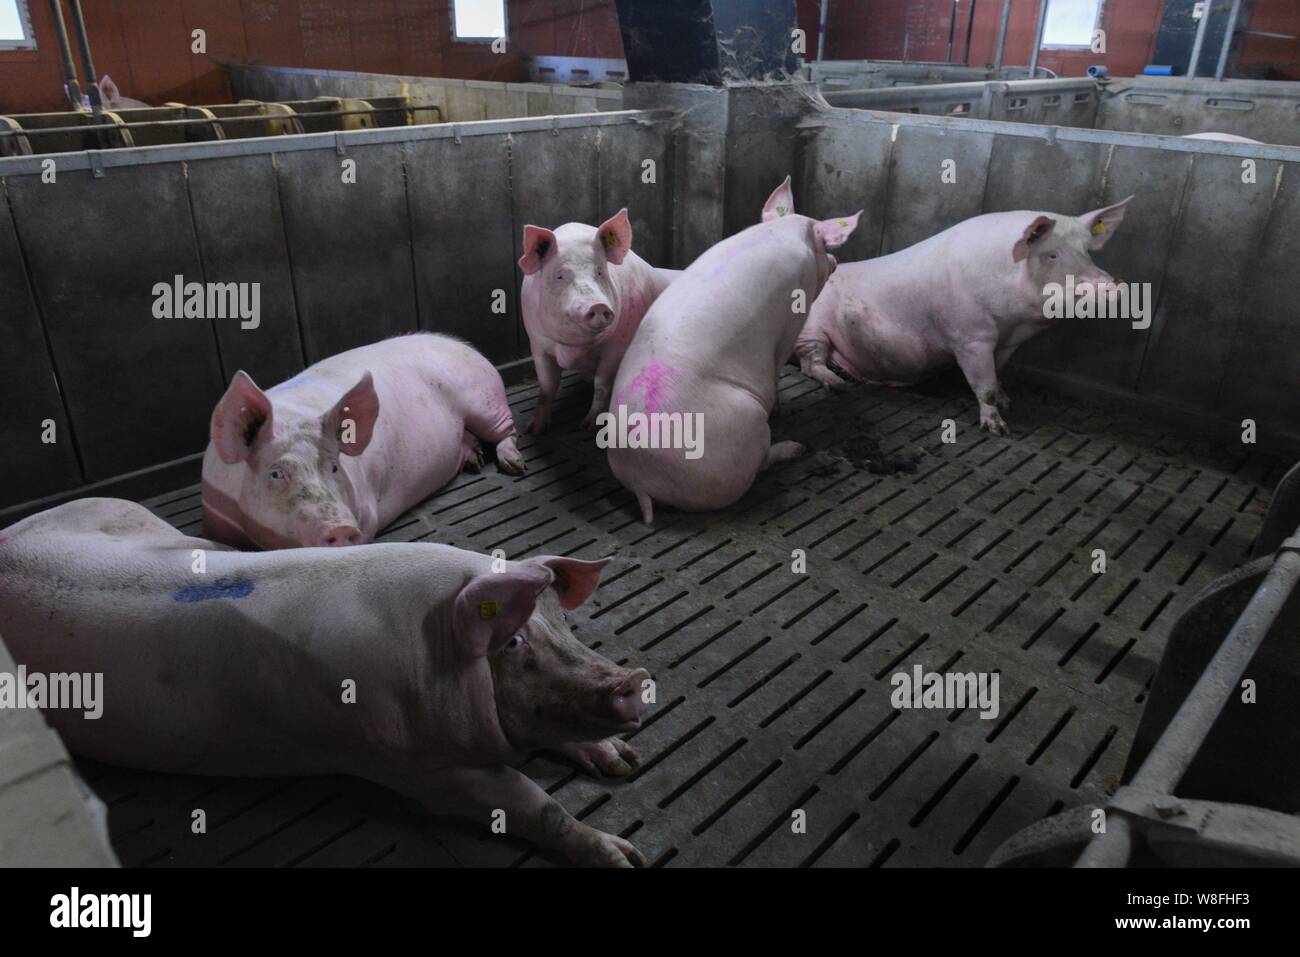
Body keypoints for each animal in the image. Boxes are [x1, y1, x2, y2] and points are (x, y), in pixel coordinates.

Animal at [0, 497, 651, 867]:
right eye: (512, 643)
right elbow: (536, 805)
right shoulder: (418, 768)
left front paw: (625, 763)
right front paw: (626, 859)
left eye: (562, 620)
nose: (634, 679)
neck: (434, 647)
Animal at [202, 333, 525, 549]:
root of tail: (466, 347)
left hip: (485, 402)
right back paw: (474, 461)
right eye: (276, 474)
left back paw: (514, 465)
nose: (341, 527)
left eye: (334, 467)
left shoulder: (368, 508)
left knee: (505, 431)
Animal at [519, 209, 679, 433]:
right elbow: (546, 386)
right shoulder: (537, 343)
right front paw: (534, 429)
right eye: (560, 276)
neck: (575, 350)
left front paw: (588, 426)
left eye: (600, 272)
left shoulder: (617, 346)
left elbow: (601, 383)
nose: (598, 306)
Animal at [606, 177, 861, 523]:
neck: (784, 230)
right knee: (761, 462)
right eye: (826, 248)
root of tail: (639, 478)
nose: (836, 262)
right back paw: (796, 448)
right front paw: (780, 408)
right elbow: (777, 365)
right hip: (746, 426)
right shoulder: (792, 319)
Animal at [795, 197, 1134, 434]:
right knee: (810, 362)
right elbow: (984, 385)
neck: (1012, 321)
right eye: (1052, 254)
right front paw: (998, 429)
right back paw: (838, 383)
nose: (1114, 284)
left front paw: (1009, 400)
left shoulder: (1008, 342)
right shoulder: (970, 337)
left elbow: (998, 374)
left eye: (1087, 251)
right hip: (811, 330)